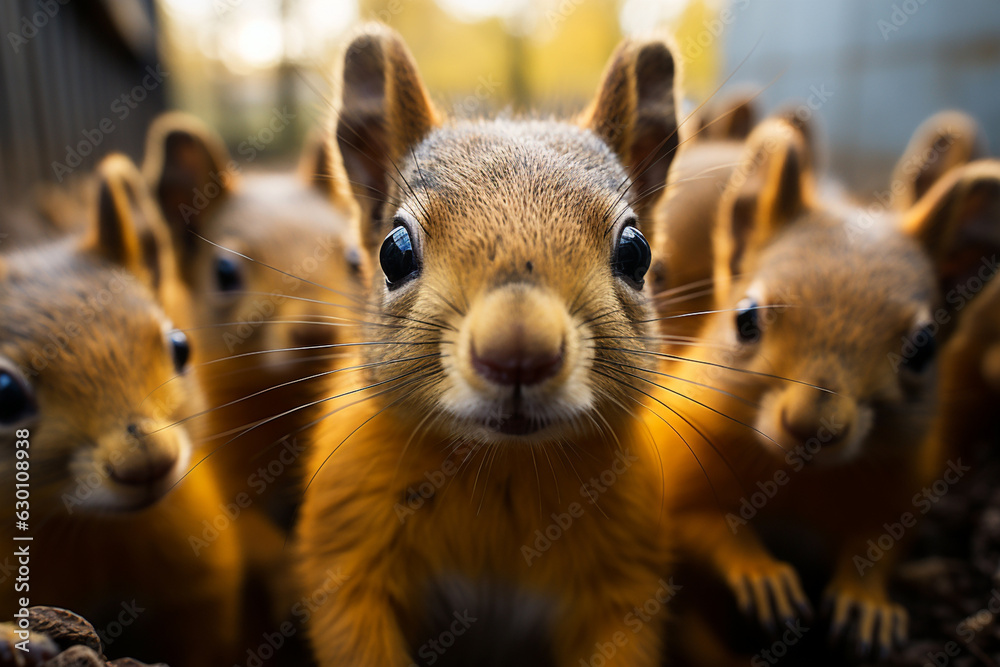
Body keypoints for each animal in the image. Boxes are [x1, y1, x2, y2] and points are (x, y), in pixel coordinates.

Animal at [296, 24, 682, 666]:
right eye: (394, 252)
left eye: (636, 252)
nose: (518, 352)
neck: (502, 467)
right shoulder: (348, 555)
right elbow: (351, 627)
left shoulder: (622, 583)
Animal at [646, 117, 1000, 662]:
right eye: (745, 319)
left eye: (922, 349)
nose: (812, 427)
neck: (797, 480)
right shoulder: (675, 481)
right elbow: (704, 525)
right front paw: (761, 574)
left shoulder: (898, 497)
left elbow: (877, 546)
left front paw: (867, 603)